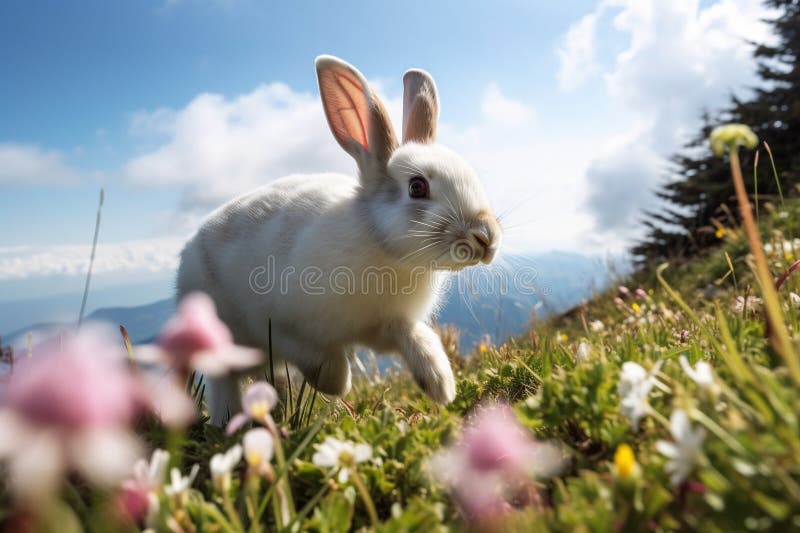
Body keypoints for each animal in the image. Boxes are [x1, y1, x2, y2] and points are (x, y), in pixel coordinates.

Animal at [176, 55, 501, 425]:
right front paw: (337, 385)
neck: (382, 245)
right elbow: (325, 364)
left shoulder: (388, 324)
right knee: (225, 385)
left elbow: (416, 338)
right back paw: (229, 421)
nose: (486, 236)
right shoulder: (286, 325)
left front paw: (439, 384)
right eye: (417, 187)